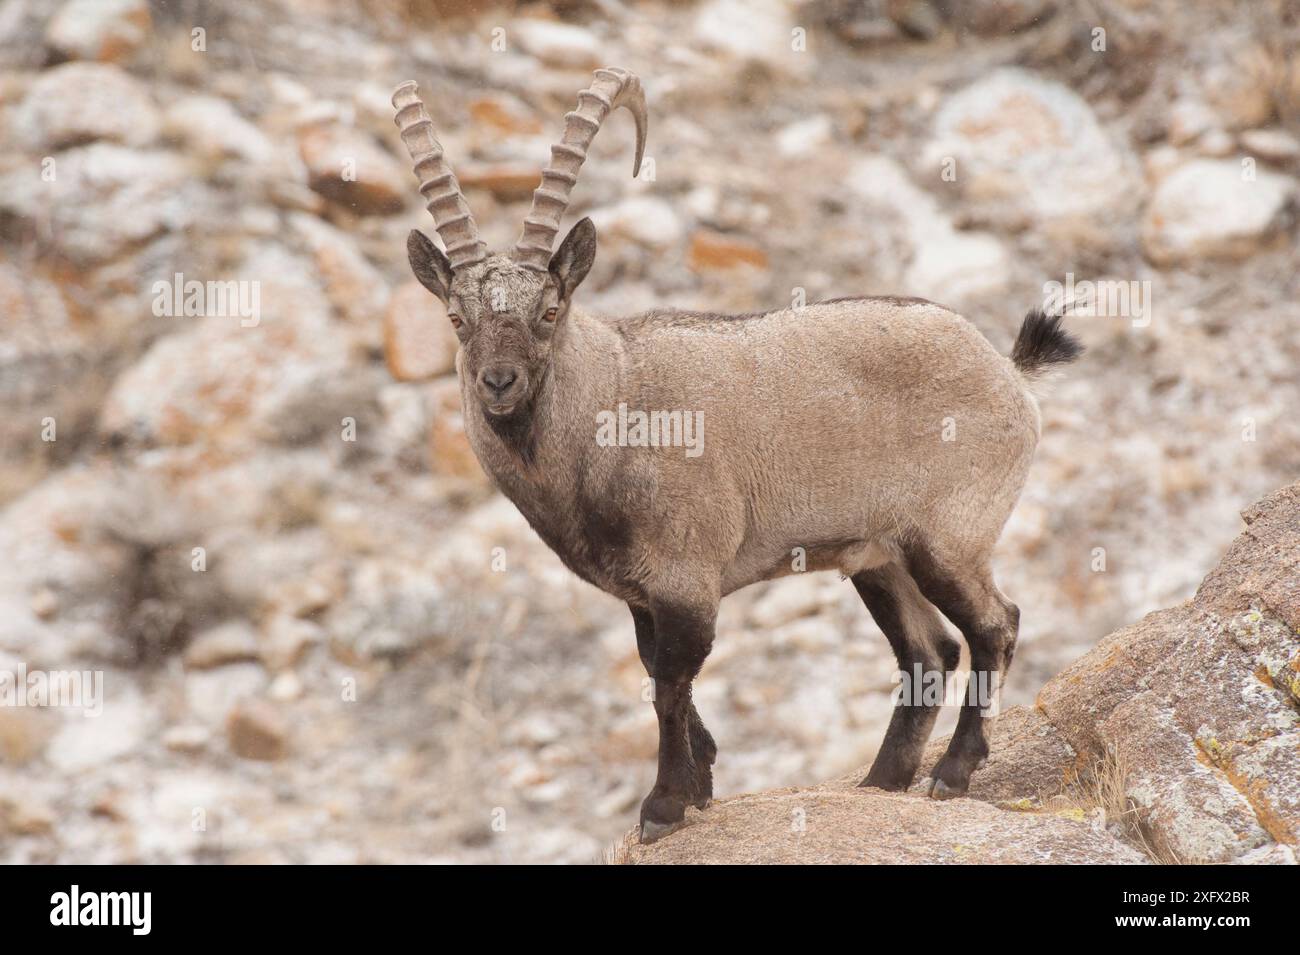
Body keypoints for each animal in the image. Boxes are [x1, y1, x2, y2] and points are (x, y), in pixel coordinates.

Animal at [392, 68, 1083, 843]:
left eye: (549, 309)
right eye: (457, 317)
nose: (499, 382)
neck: (612, 401)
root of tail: (1010, 372)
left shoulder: (687, 578)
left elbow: (669, 685)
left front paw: (663, 806)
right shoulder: (645, 593)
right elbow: (658, 674)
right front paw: (699, 787)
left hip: (949, 538)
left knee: (995, 624)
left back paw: (951, 774)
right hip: (878, 556)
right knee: (928, 651)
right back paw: (880, 783)